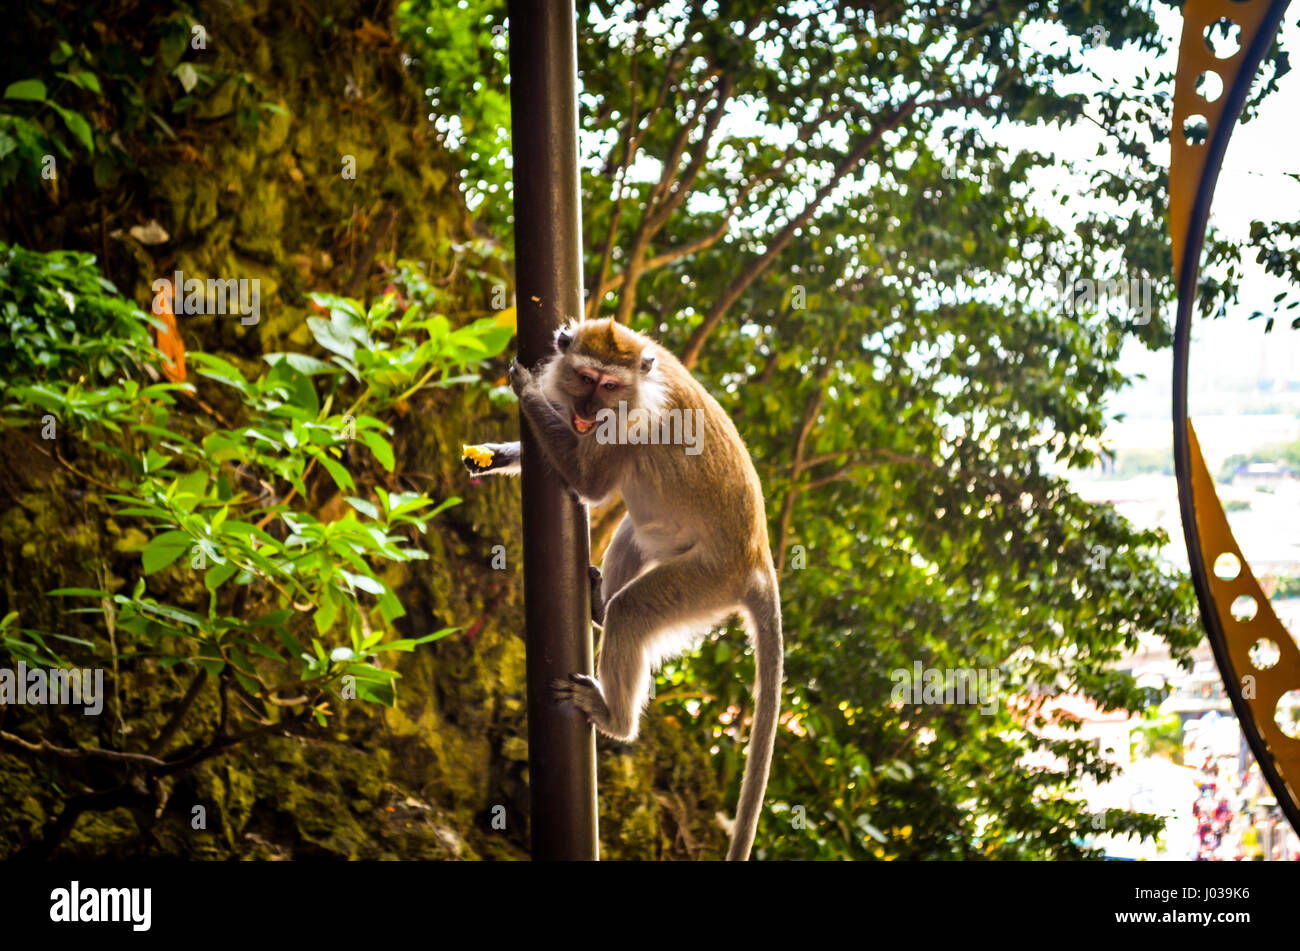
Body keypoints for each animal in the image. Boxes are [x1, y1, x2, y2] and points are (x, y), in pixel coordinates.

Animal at [463, 318, 783, 861]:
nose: (590, 410)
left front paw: (527, 390)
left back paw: (613, 718)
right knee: (634, 531)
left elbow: (588, 483)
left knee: (633, 609)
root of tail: (757, 558)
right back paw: (596, 607)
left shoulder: (629, 426)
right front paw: (496, 454)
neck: (639, 385)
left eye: (610, 386)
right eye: (586, 377)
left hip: (707, 582)